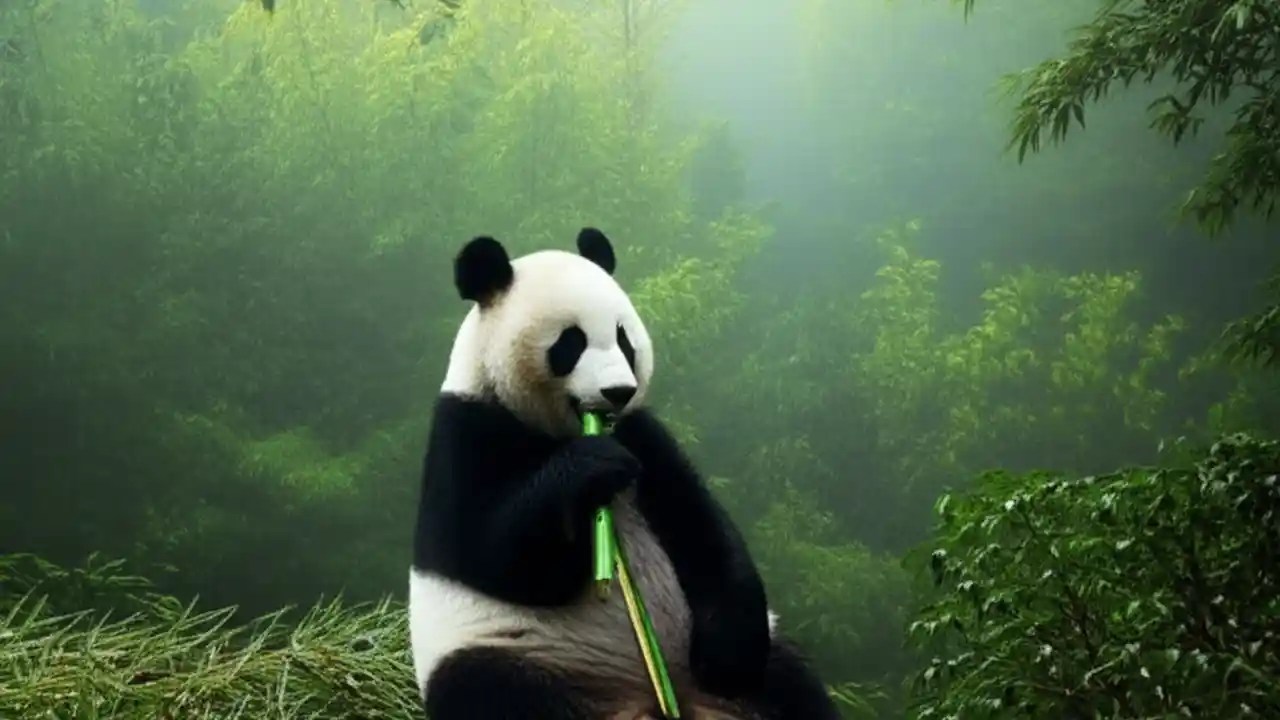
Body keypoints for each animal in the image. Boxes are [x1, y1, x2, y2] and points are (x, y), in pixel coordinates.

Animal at [409, 227, 840, 720]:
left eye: (624, 339)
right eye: (570, 343)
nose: (618, 391)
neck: (561, 431)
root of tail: (650, 703)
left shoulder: (644, 435)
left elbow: (699, 523)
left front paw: (724, 658)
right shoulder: (465, 433)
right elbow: (494, 553)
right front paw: (592, 467)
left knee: (792, 684)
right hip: (513, 656)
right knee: (492, 692)